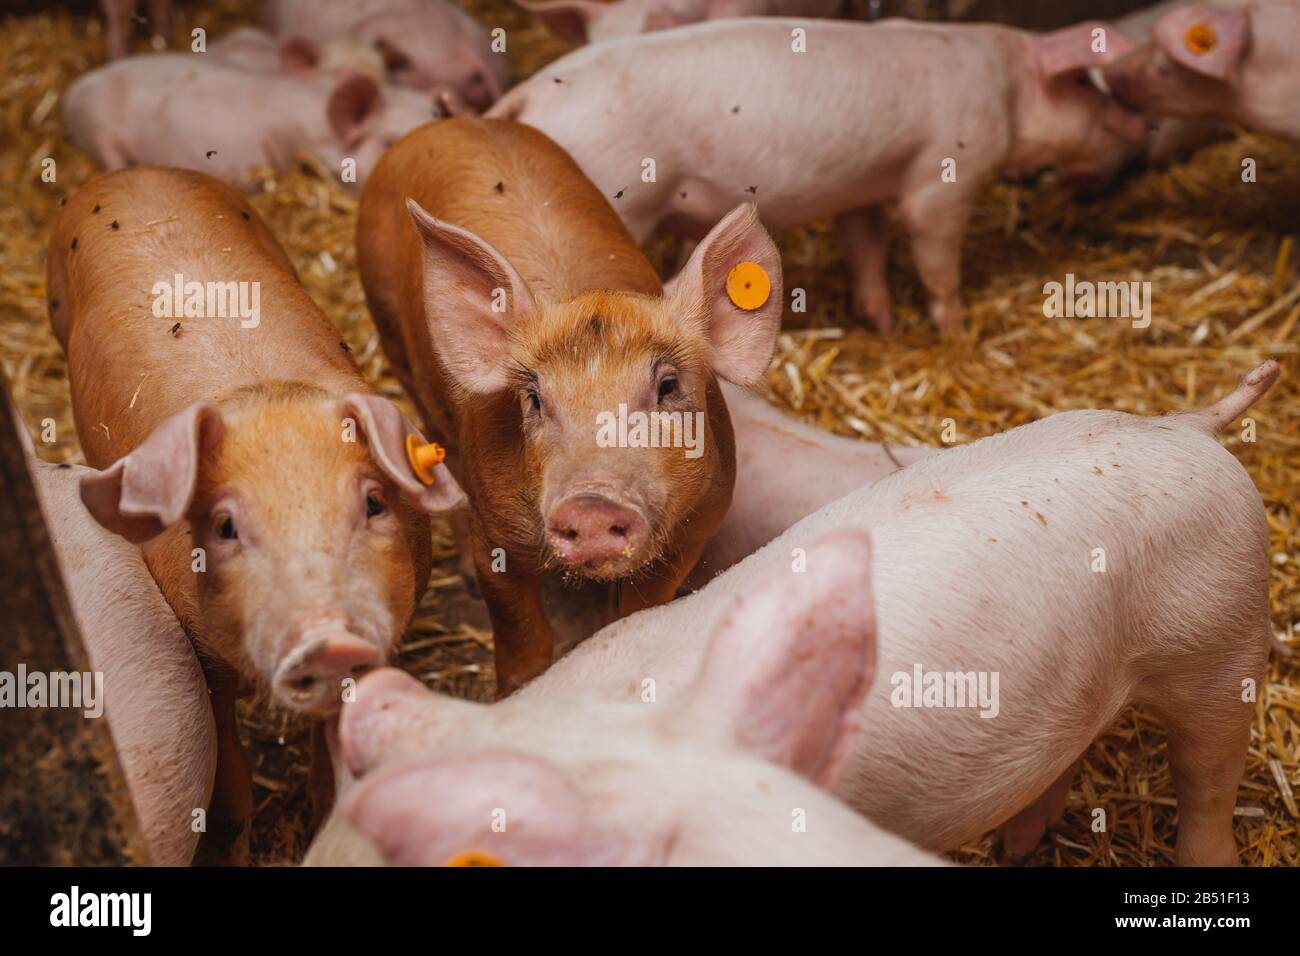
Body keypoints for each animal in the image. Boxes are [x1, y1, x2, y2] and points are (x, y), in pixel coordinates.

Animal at [46, 166, 464, 862]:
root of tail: (130, 174)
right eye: (226, 528)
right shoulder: (199, 652)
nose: (328, 636)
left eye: (372, 503)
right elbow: (231, 780)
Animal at [357, 117, 784, 695]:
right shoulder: (499, 538)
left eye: (668, 386)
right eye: (535, 399)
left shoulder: (694, 531)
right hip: (390, 329)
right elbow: (523, 635)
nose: (592, 504)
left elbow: (637, 613)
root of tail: (444, 124)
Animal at [489, 18, 1148, 333]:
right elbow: (935, 256)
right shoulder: (944, 174)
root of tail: (526, 97)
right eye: (1085, 85)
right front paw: (956, 332)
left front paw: (882, 323)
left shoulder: (863, 189)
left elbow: (867, 250)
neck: (1005, 85)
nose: (1139, 124)